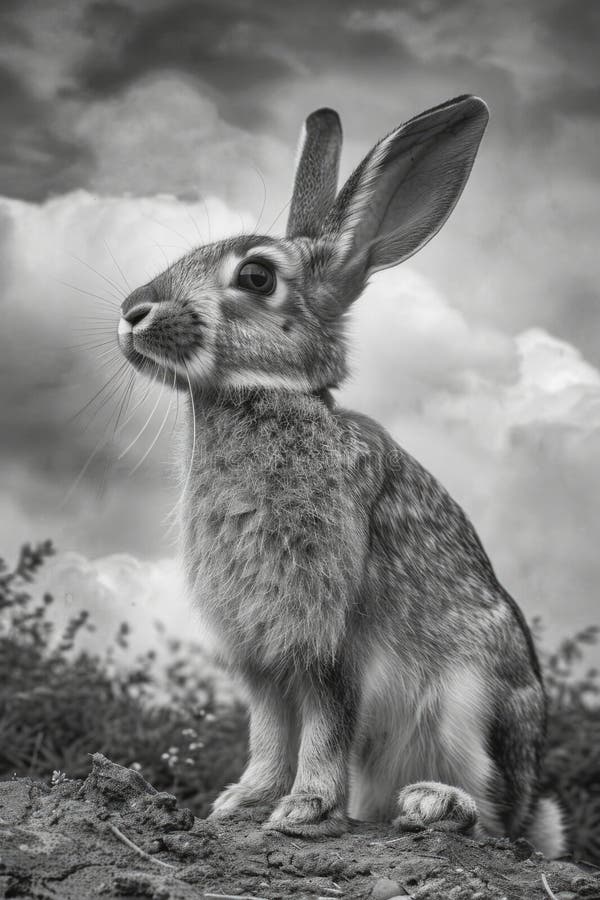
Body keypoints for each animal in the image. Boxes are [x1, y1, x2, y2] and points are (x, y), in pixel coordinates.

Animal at [117, 95, 565, 856]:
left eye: (257, 277)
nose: (131, 314)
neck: (267, 397)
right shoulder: (261, 651)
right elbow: (270, 729)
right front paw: (241, 801)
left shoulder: (329, 631)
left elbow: (326, 724)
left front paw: (302, 809)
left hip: (474, 705)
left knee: (499, 823)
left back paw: (438, 804)